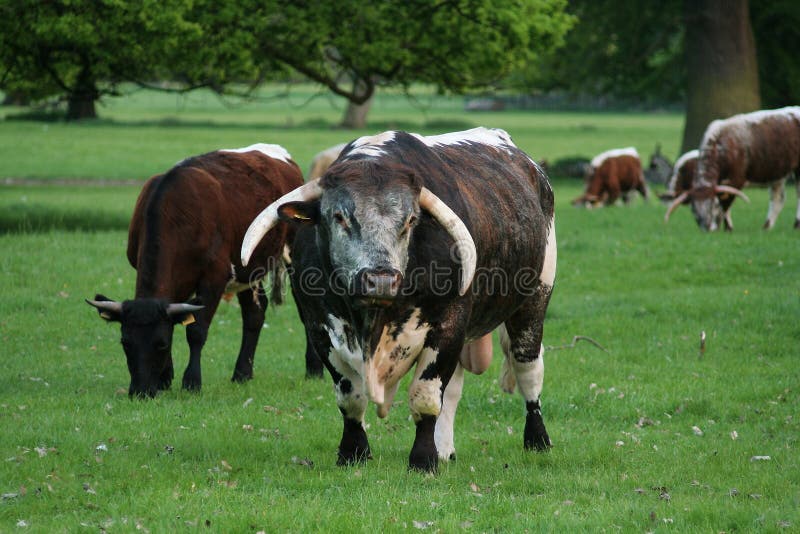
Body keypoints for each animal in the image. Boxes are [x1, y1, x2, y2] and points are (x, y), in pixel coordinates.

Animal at [86, 144, 307, 397]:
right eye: (125, 343)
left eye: (160, 344)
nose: (141, 391)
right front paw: (165, 379)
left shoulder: (214, 278)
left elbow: (196, 331)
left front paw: (191, 382)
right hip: (248, 268)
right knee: (255, 312)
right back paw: (242, 373)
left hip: (294, 255)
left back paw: (314, 370)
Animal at [241, 127, 557, 472]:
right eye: (339, 216)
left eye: (410, 220)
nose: (380, 280)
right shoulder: (320, 329)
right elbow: (350, 397)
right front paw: (353, 452)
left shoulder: (447, 326)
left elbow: (425, 395)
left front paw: (423, 459)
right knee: (455, 389)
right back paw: (446, 449)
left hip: (533, 302)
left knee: (529, 370)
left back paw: (537, 440)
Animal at [665, 107, 800, 231]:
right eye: (694, 209)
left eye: (711, 205)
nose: (707, 228)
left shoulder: (736, 181)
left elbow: (725, 205)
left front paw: (727, 228)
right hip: (777, 174)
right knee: (778, 199)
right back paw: (766, 227)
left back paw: (796, 224)